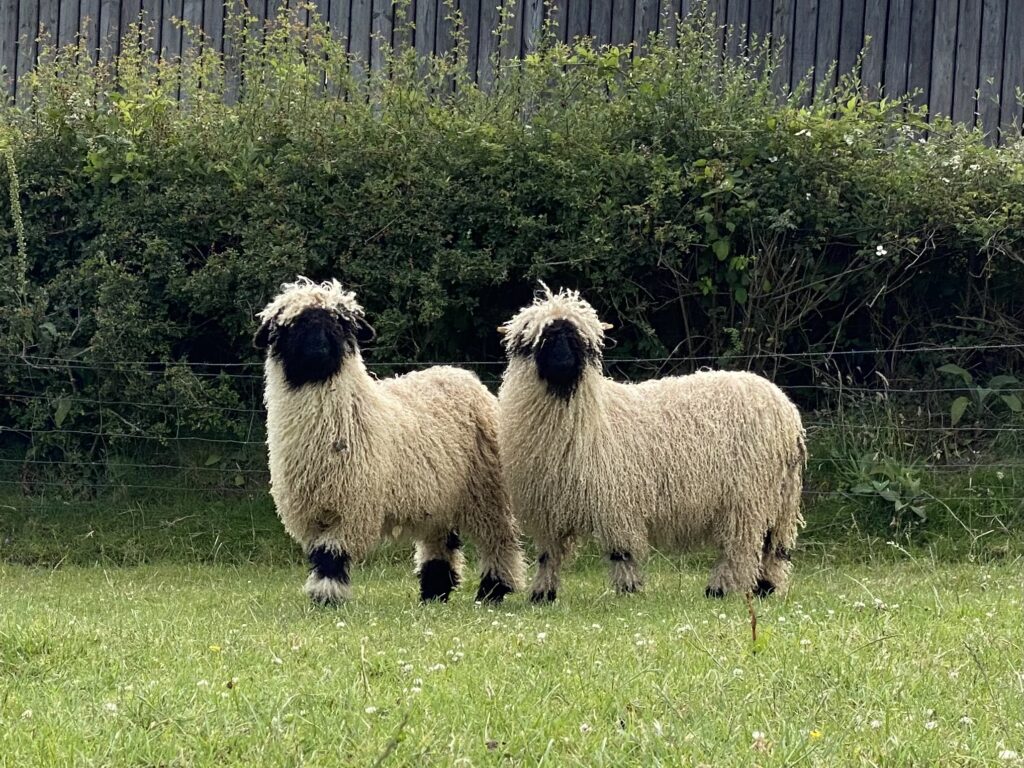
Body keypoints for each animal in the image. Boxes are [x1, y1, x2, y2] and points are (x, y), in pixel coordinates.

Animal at [255, 277, 525, 605]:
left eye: (341, 323)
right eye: (291, 325)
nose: (318, 349)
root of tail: (460, 373)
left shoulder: (352, 506)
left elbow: (331, 555)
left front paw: (328, 597)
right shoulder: (312, 514)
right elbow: (320, 555)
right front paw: (323, 596)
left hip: (487, 489)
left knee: (499, 538)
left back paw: (492, 591)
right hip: (438, 495)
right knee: (440, 540)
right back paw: (433, 594)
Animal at [497, 285, 805, 602]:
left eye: (578, 341)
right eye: (542, 340)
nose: (563, 362)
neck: (589, 415)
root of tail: (785, 408)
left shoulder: (616, 500)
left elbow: (621, 551)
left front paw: (628, 590)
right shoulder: (549, 508)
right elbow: (549, 556)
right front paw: (541, 594)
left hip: (748, 495)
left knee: (742, 546)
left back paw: (719, 588)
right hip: (778, 496)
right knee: (772, 546)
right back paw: (764, 588)